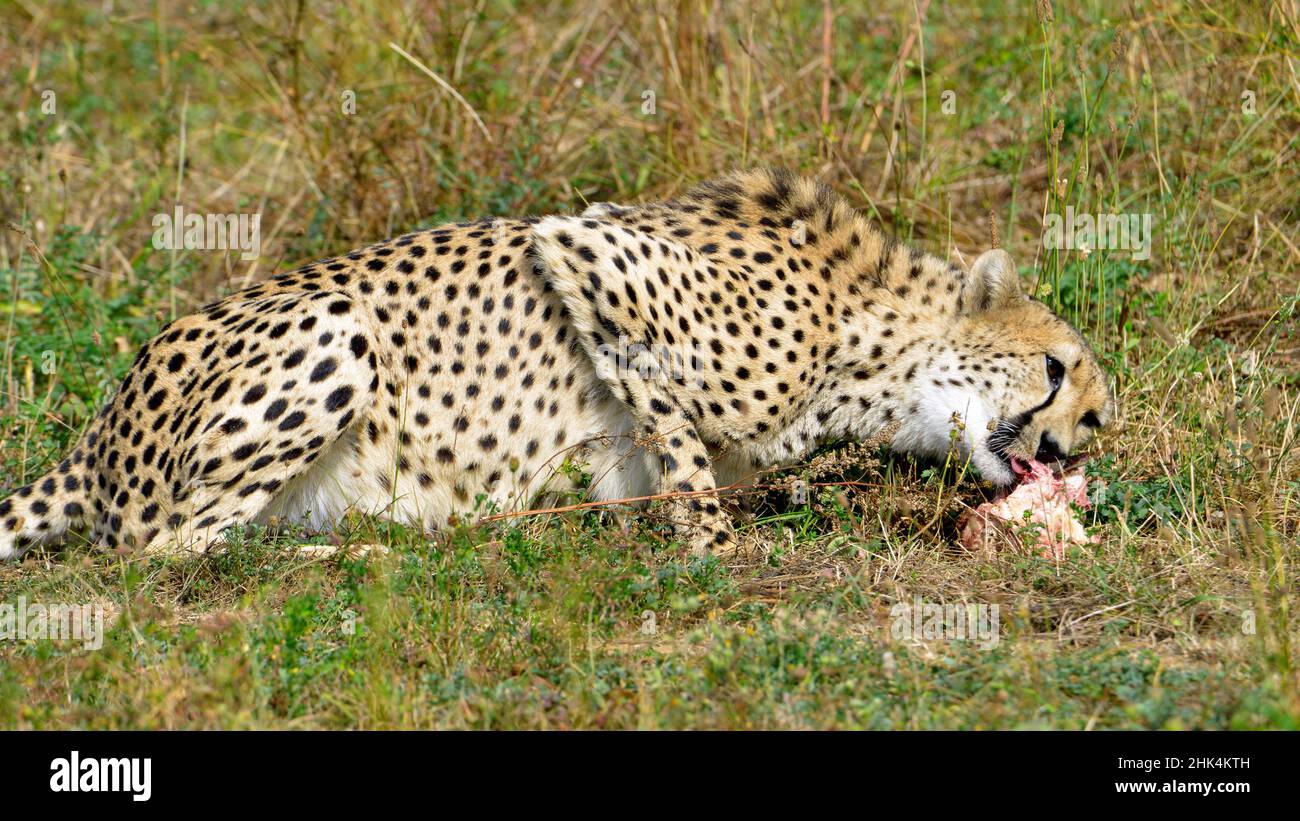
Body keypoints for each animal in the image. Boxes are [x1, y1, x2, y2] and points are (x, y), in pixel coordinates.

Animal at [0, 168, 1114, 561]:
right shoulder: (587, 249)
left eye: (1092, 411)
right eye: (1058, 373)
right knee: (154, 548)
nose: (1073, 449)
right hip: (332, 326)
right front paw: (717, 547)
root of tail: (100, 425)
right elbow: (684, 453)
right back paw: (337, 556)